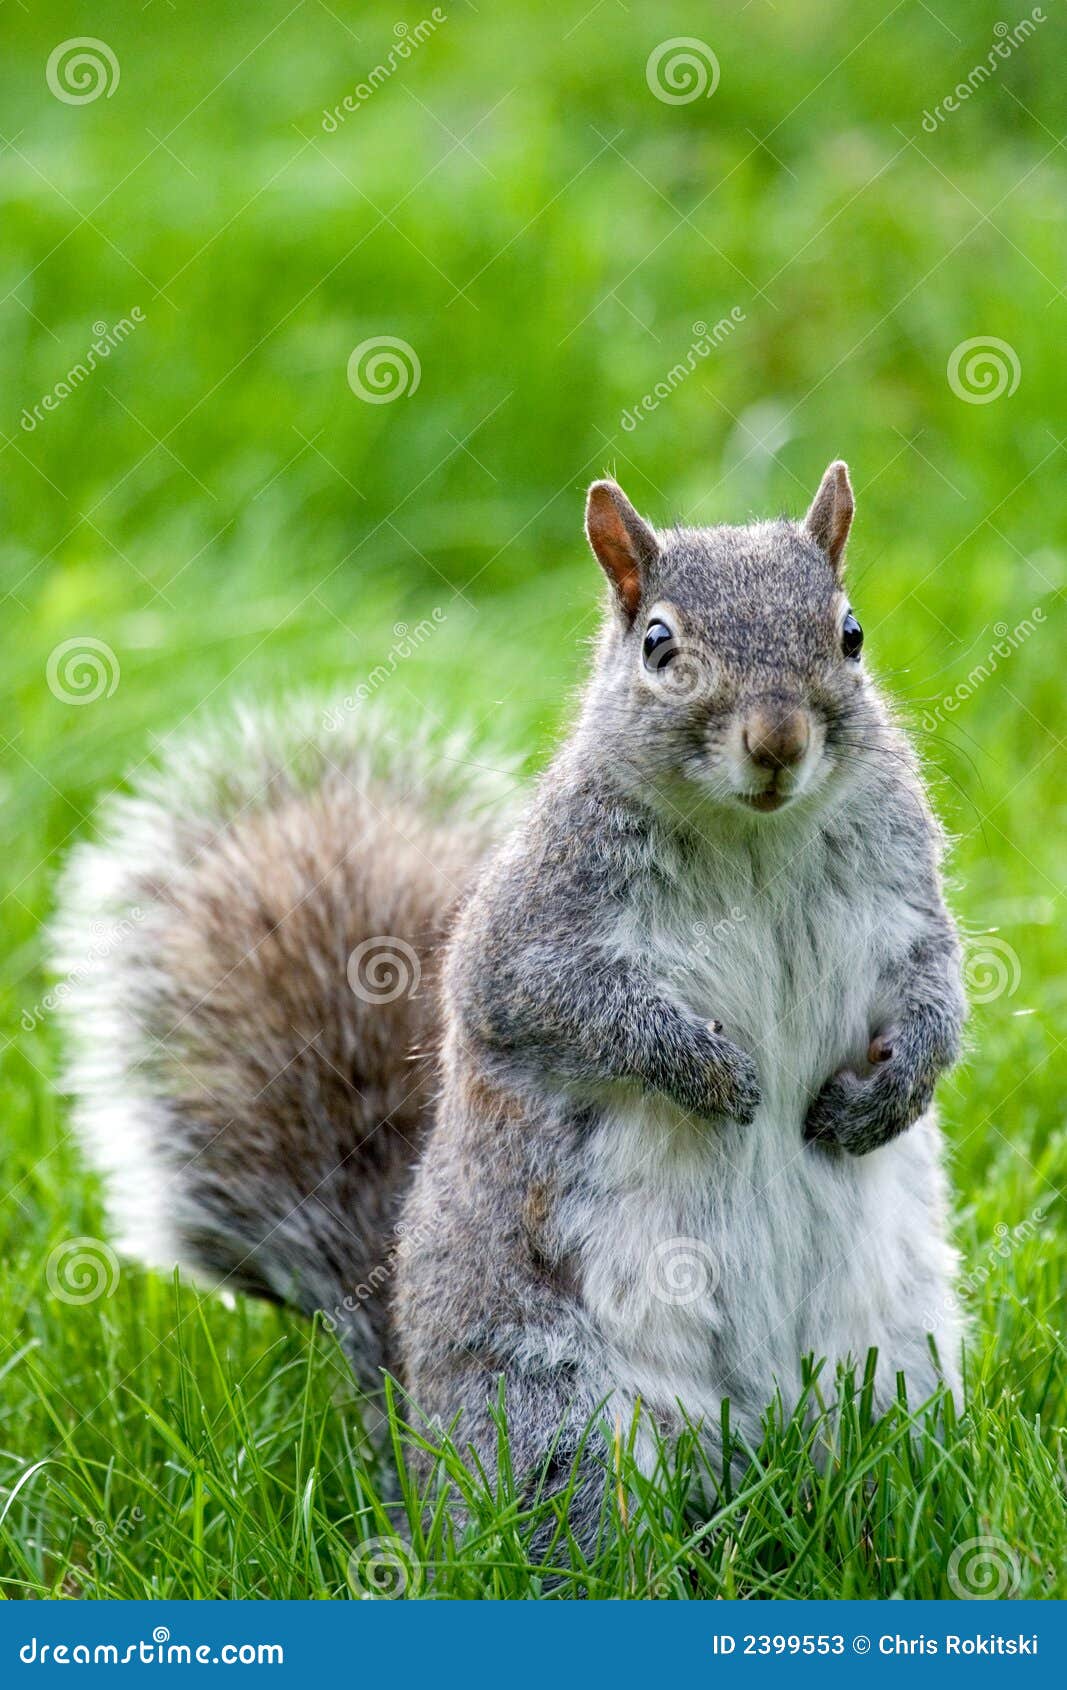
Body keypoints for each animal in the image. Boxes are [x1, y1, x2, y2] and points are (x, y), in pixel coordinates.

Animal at [54, 461, 966, 1542]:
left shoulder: (903, 896)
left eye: (850, 633)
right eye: (657, 644)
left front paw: (888, 1095)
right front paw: (706, 1072)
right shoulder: (533, 933)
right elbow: (559, 1007)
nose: (777, 741)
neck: (755, 832)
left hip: (894, 1371)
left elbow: (937, 991)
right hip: (549, 1403)